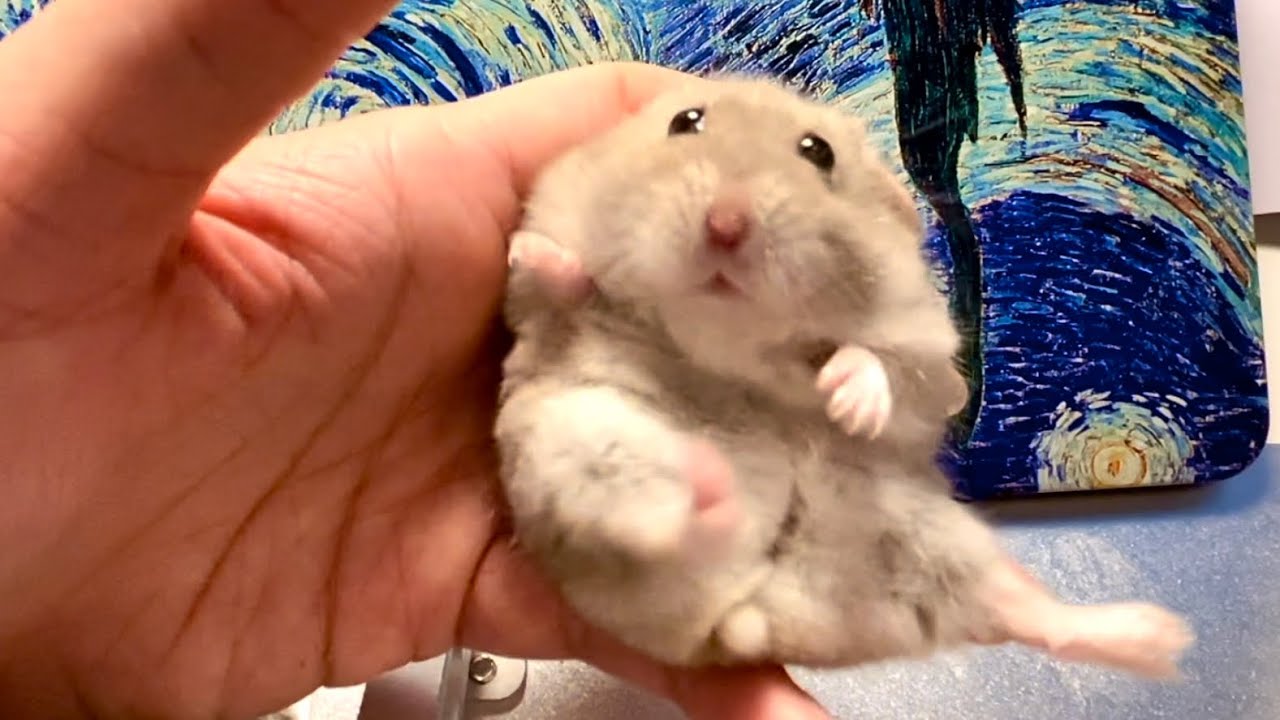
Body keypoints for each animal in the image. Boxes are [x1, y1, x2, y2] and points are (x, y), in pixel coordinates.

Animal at [493, 75, 1193, 677]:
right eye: (685, 121)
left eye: (817, 152)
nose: (725, 225)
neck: (727, 342)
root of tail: (748, 618)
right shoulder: (538, 297)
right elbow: (559, 280)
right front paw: (529, 251)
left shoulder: (928, 356)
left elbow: (878, 362)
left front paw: (846, 403)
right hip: (576, 449)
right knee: (656, 523)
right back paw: (710, 473)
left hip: (926, 533)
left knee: (1027, 611)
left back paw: (1161, 640)